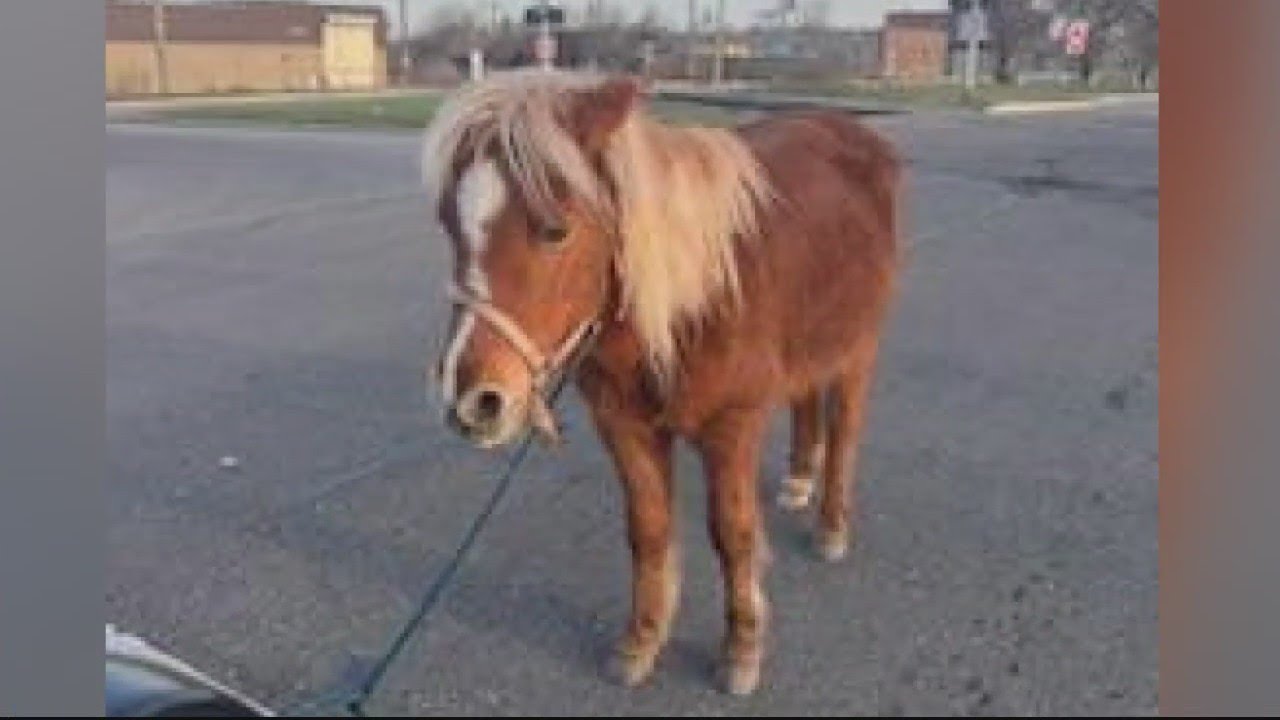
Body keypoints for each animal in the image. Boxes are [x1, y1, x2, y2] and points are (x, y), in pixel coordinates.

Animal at [422, 70, 901, 695]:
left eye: (554, 230)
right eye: (447, 224)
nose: (474, 401)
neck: (690, 304)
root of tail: (853, 131)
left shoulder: (731, 428)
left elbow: (732, 534)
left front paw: (741, 649)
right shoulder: (624, 426)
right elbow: (648, 530)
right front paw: (641, 642)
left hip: (857, 350)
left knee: (845, 430)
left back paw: (831, 528)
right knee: (805, 403)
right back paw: (799, 482)